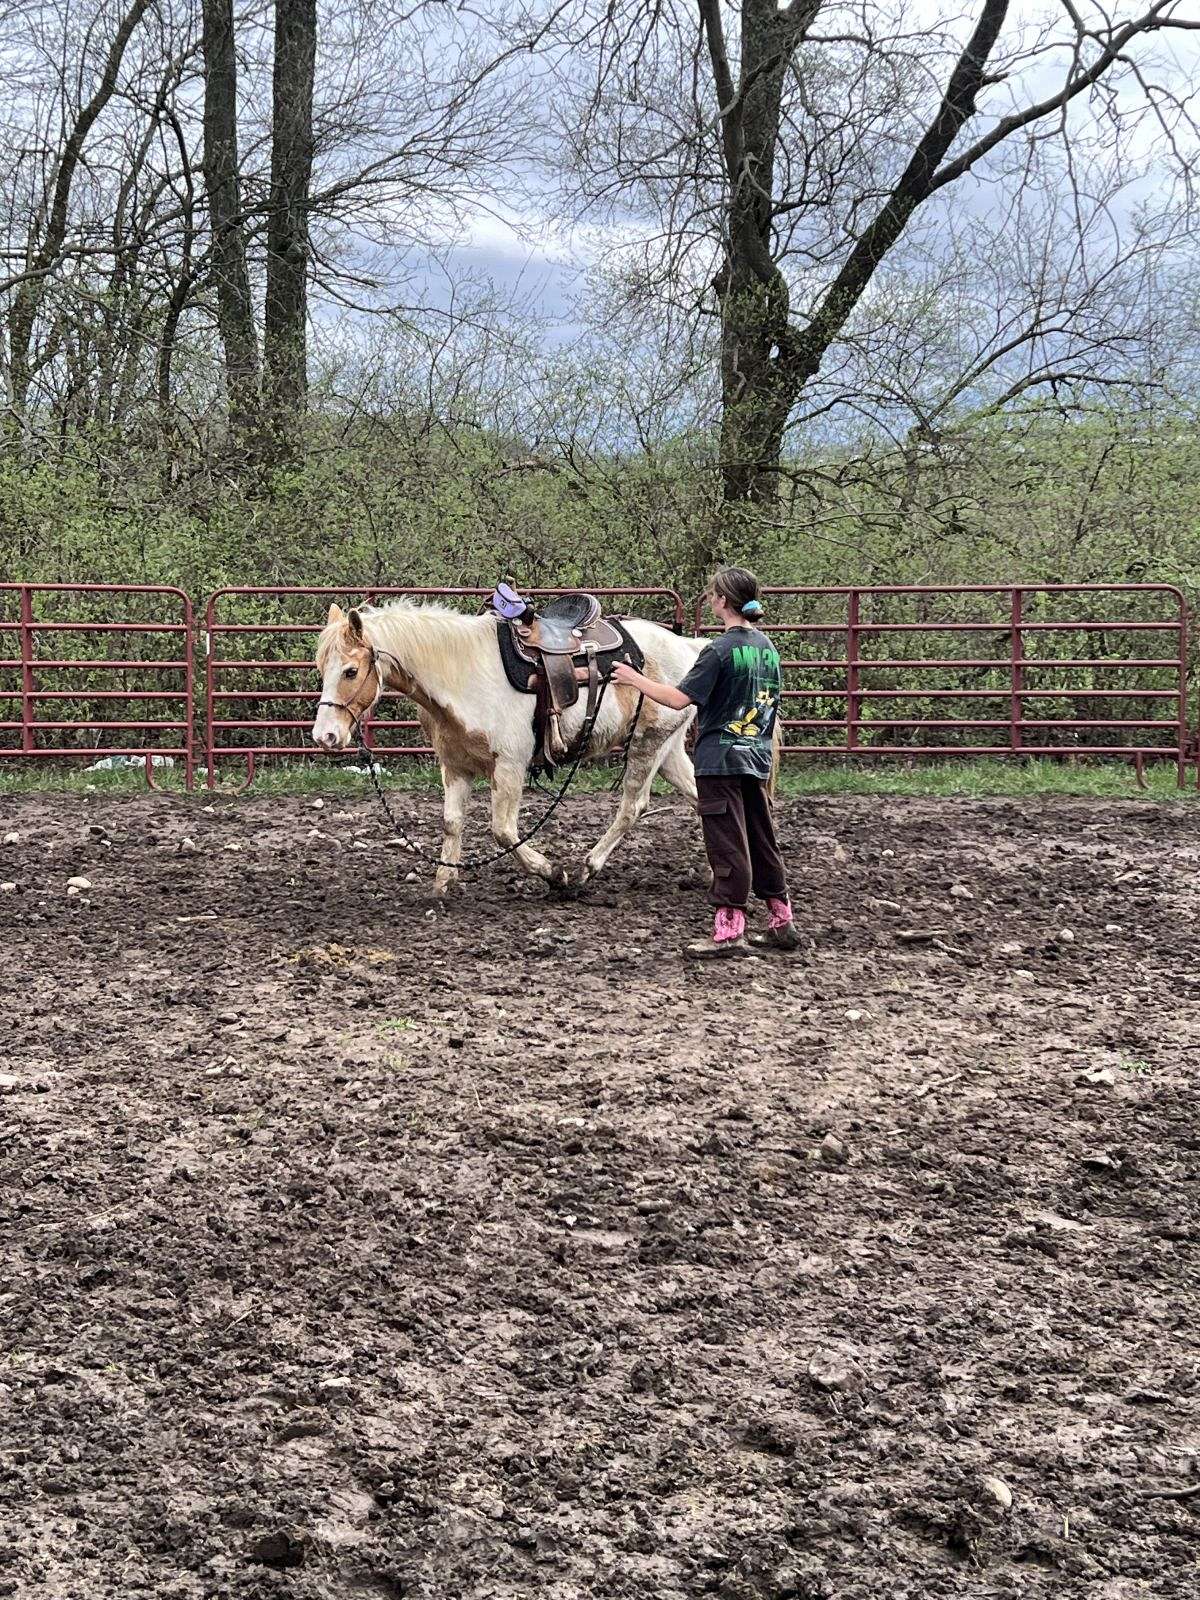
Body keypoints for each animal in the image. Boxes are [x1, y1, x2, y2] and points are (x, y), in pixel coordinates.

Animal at [311, 599, 705, 893]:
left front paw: (553, 873)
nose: (324, 736)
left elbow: (503, 831)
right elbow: (451, 822)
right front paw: (444, 883)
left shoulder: (509, 766)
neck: (463, 675)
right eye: (321, 668)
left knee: (632, 806)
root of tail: (689, 646)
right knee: (698, 796)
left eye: (350, 671)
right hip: (668, 748)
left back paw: (586, 868)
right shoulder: (455, 766)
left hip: (648, 744)